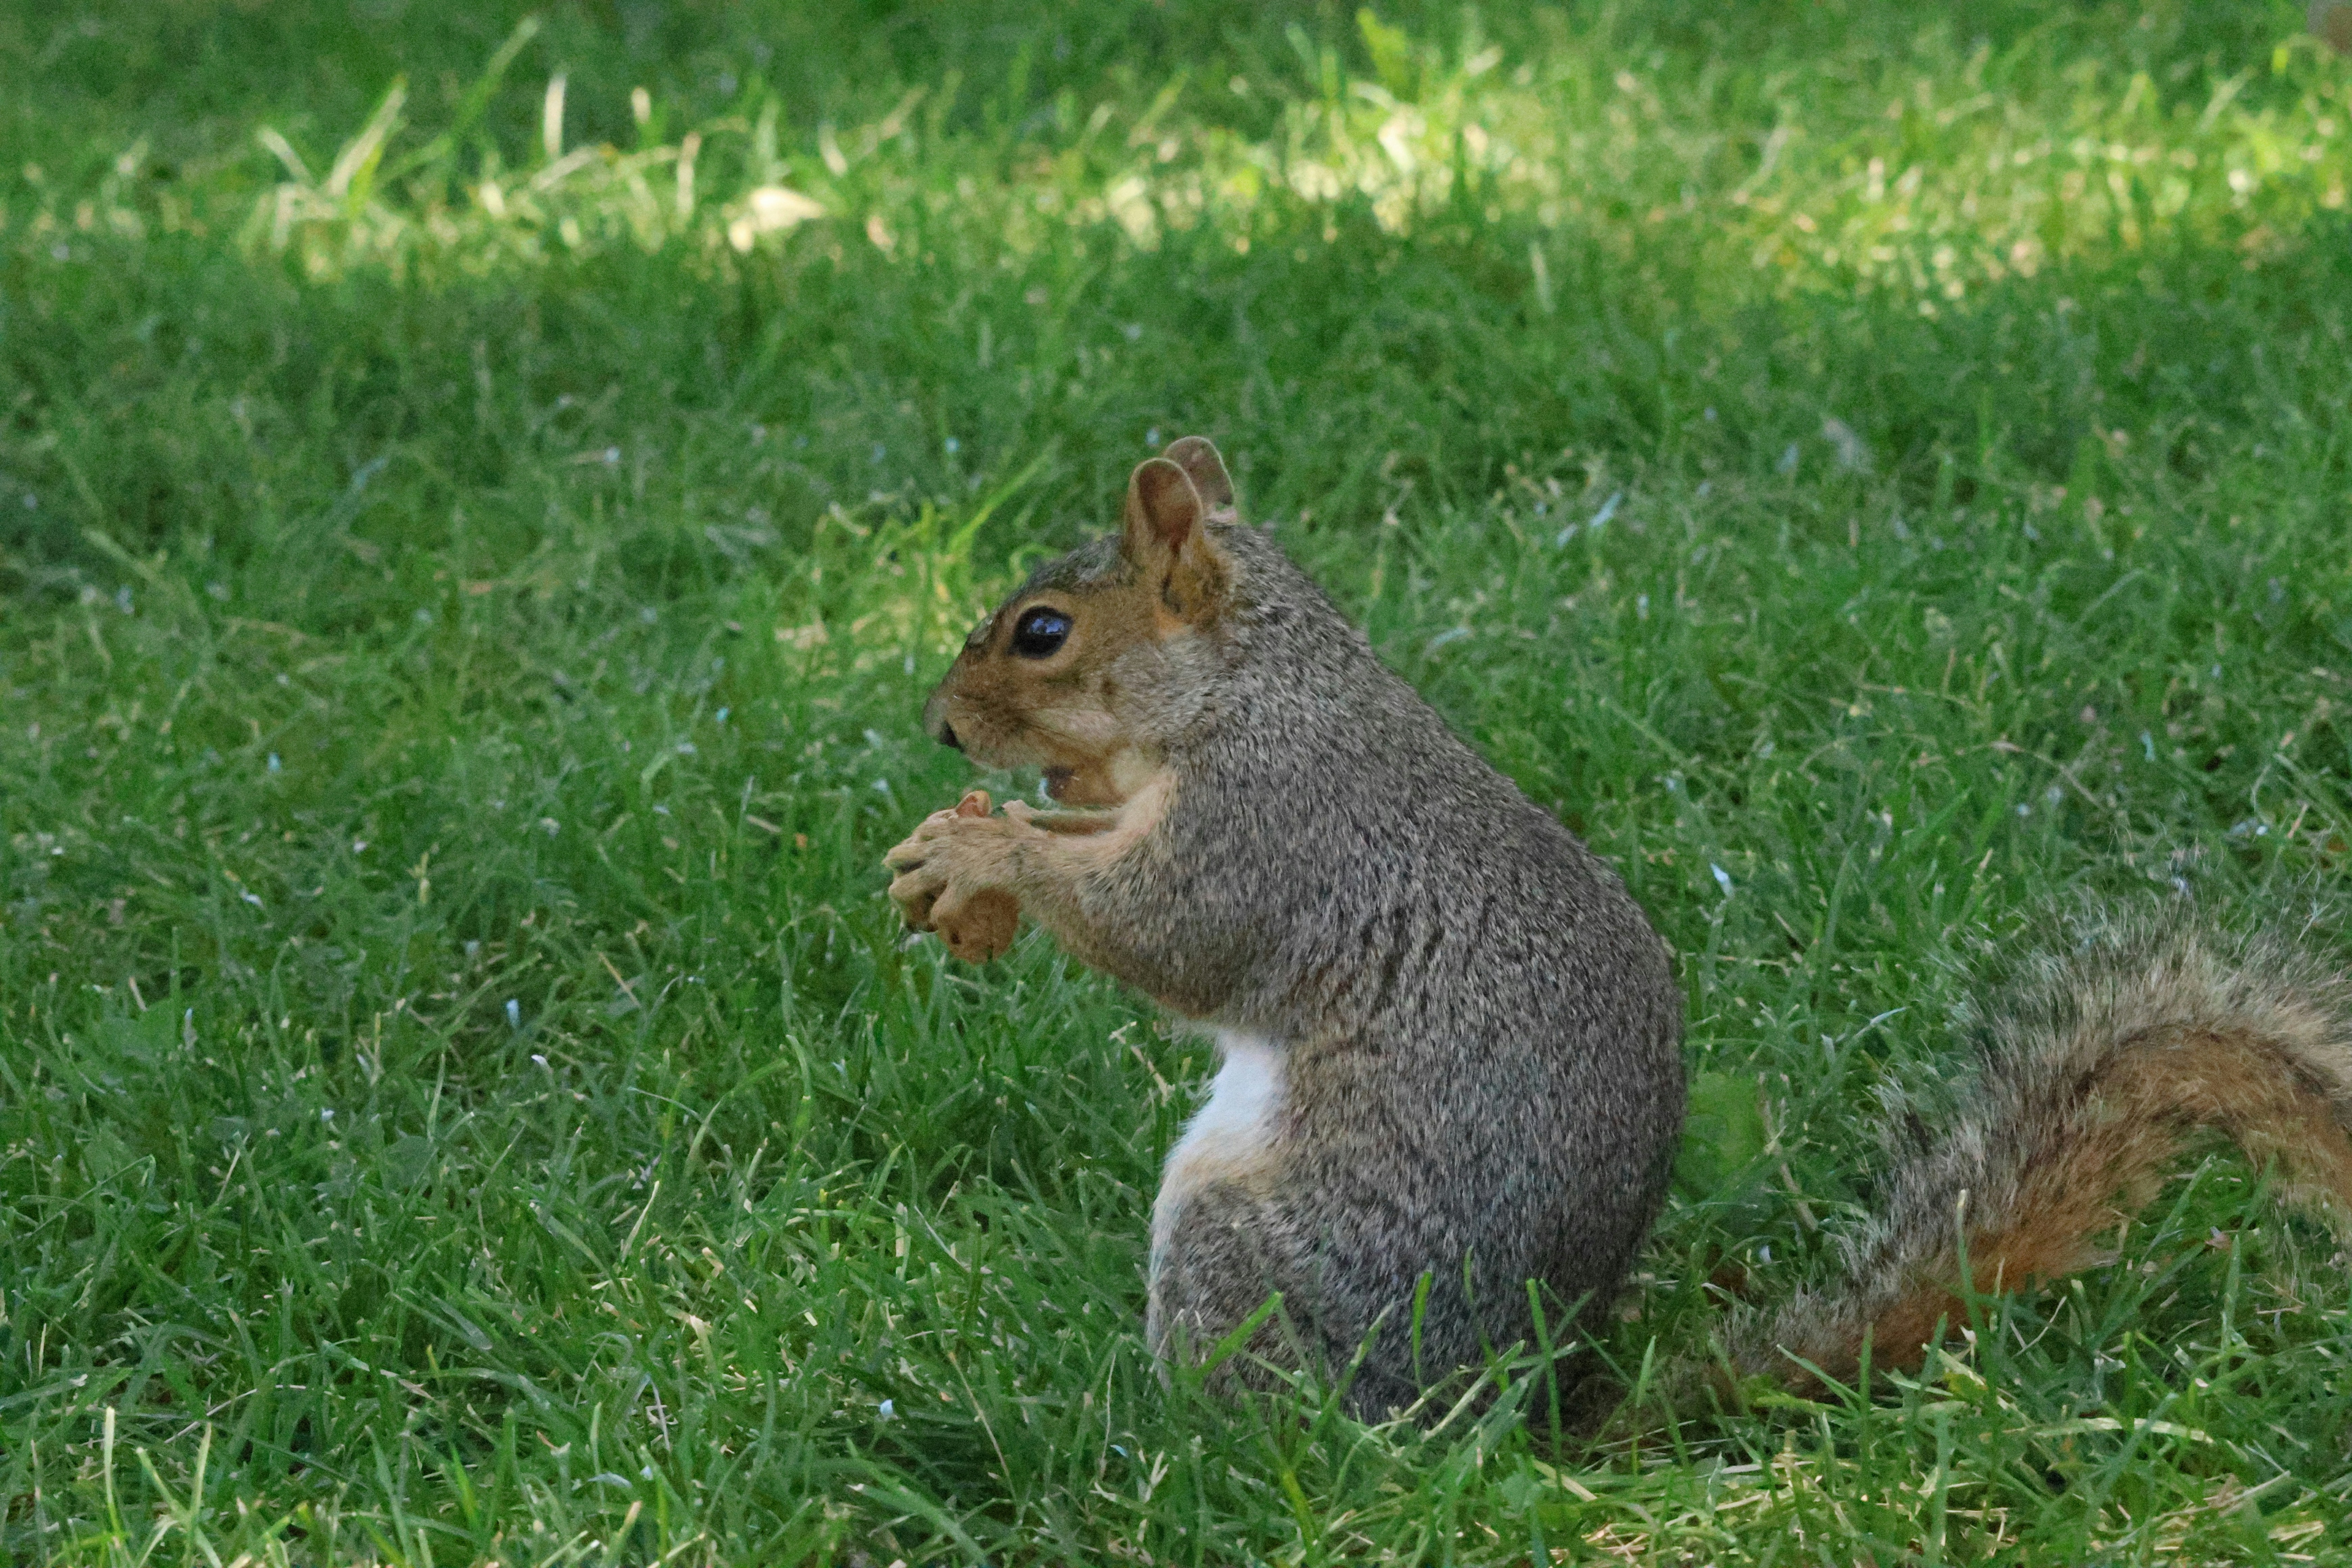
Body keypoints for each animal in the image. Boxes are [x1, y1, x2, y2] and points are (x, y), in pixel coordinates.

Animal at [883, 436, 2352, 1419]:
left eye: (1042, 631)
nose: (942, 730)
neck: (1251, 687)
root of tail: (1515, 1415)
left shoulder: (1271, 829)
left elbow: (1169, 935)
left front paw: (982, 849)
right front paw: (974, 845)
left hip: (1243, 1244)